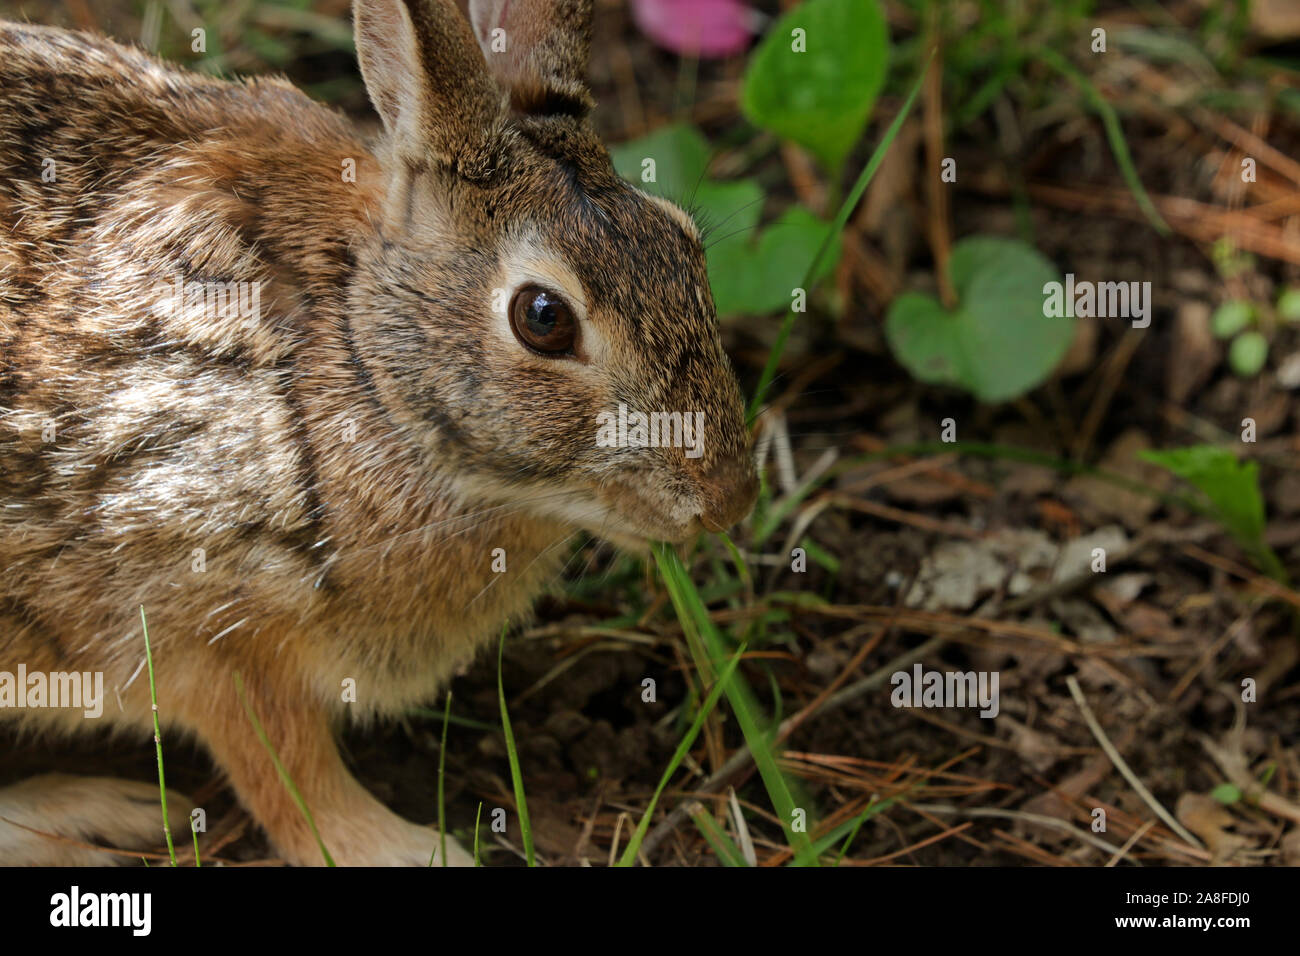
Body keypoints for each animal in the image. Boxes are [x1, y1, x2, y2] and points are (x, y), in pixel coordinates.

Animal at [0, 0, 758, 866]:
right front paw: (405, 849)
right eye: (543, 318)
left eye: (683, 242)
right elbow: (290, 777)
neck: (368, 365)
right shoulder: (201, 619)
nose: (728, 498)